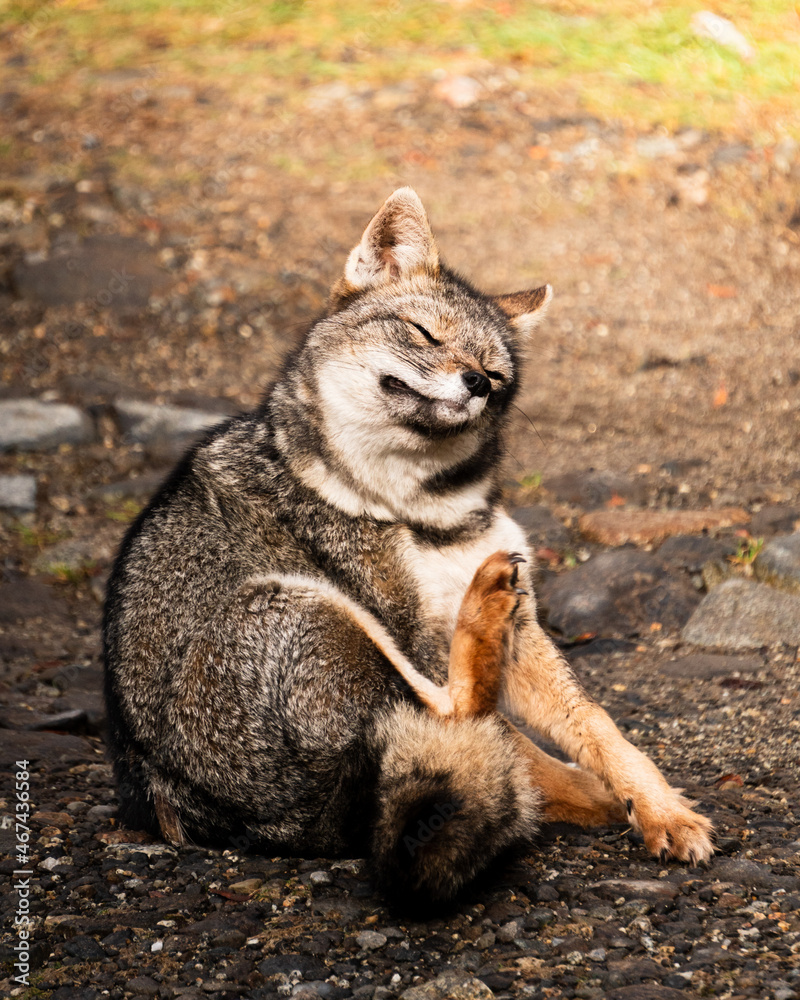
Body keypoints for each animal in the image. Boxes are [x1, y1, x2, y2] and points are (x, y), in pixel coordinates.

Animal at [103, 188, 714, 907]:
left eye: (497, 373)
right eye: (427, 335)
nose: (476, 383)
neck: (432, 510)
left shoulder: (528, 632)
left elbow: (596, 723)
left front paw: (658, 807)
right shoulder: (413, 628)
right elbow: (497, 726)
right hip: (310, 607)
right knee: (457, 714)